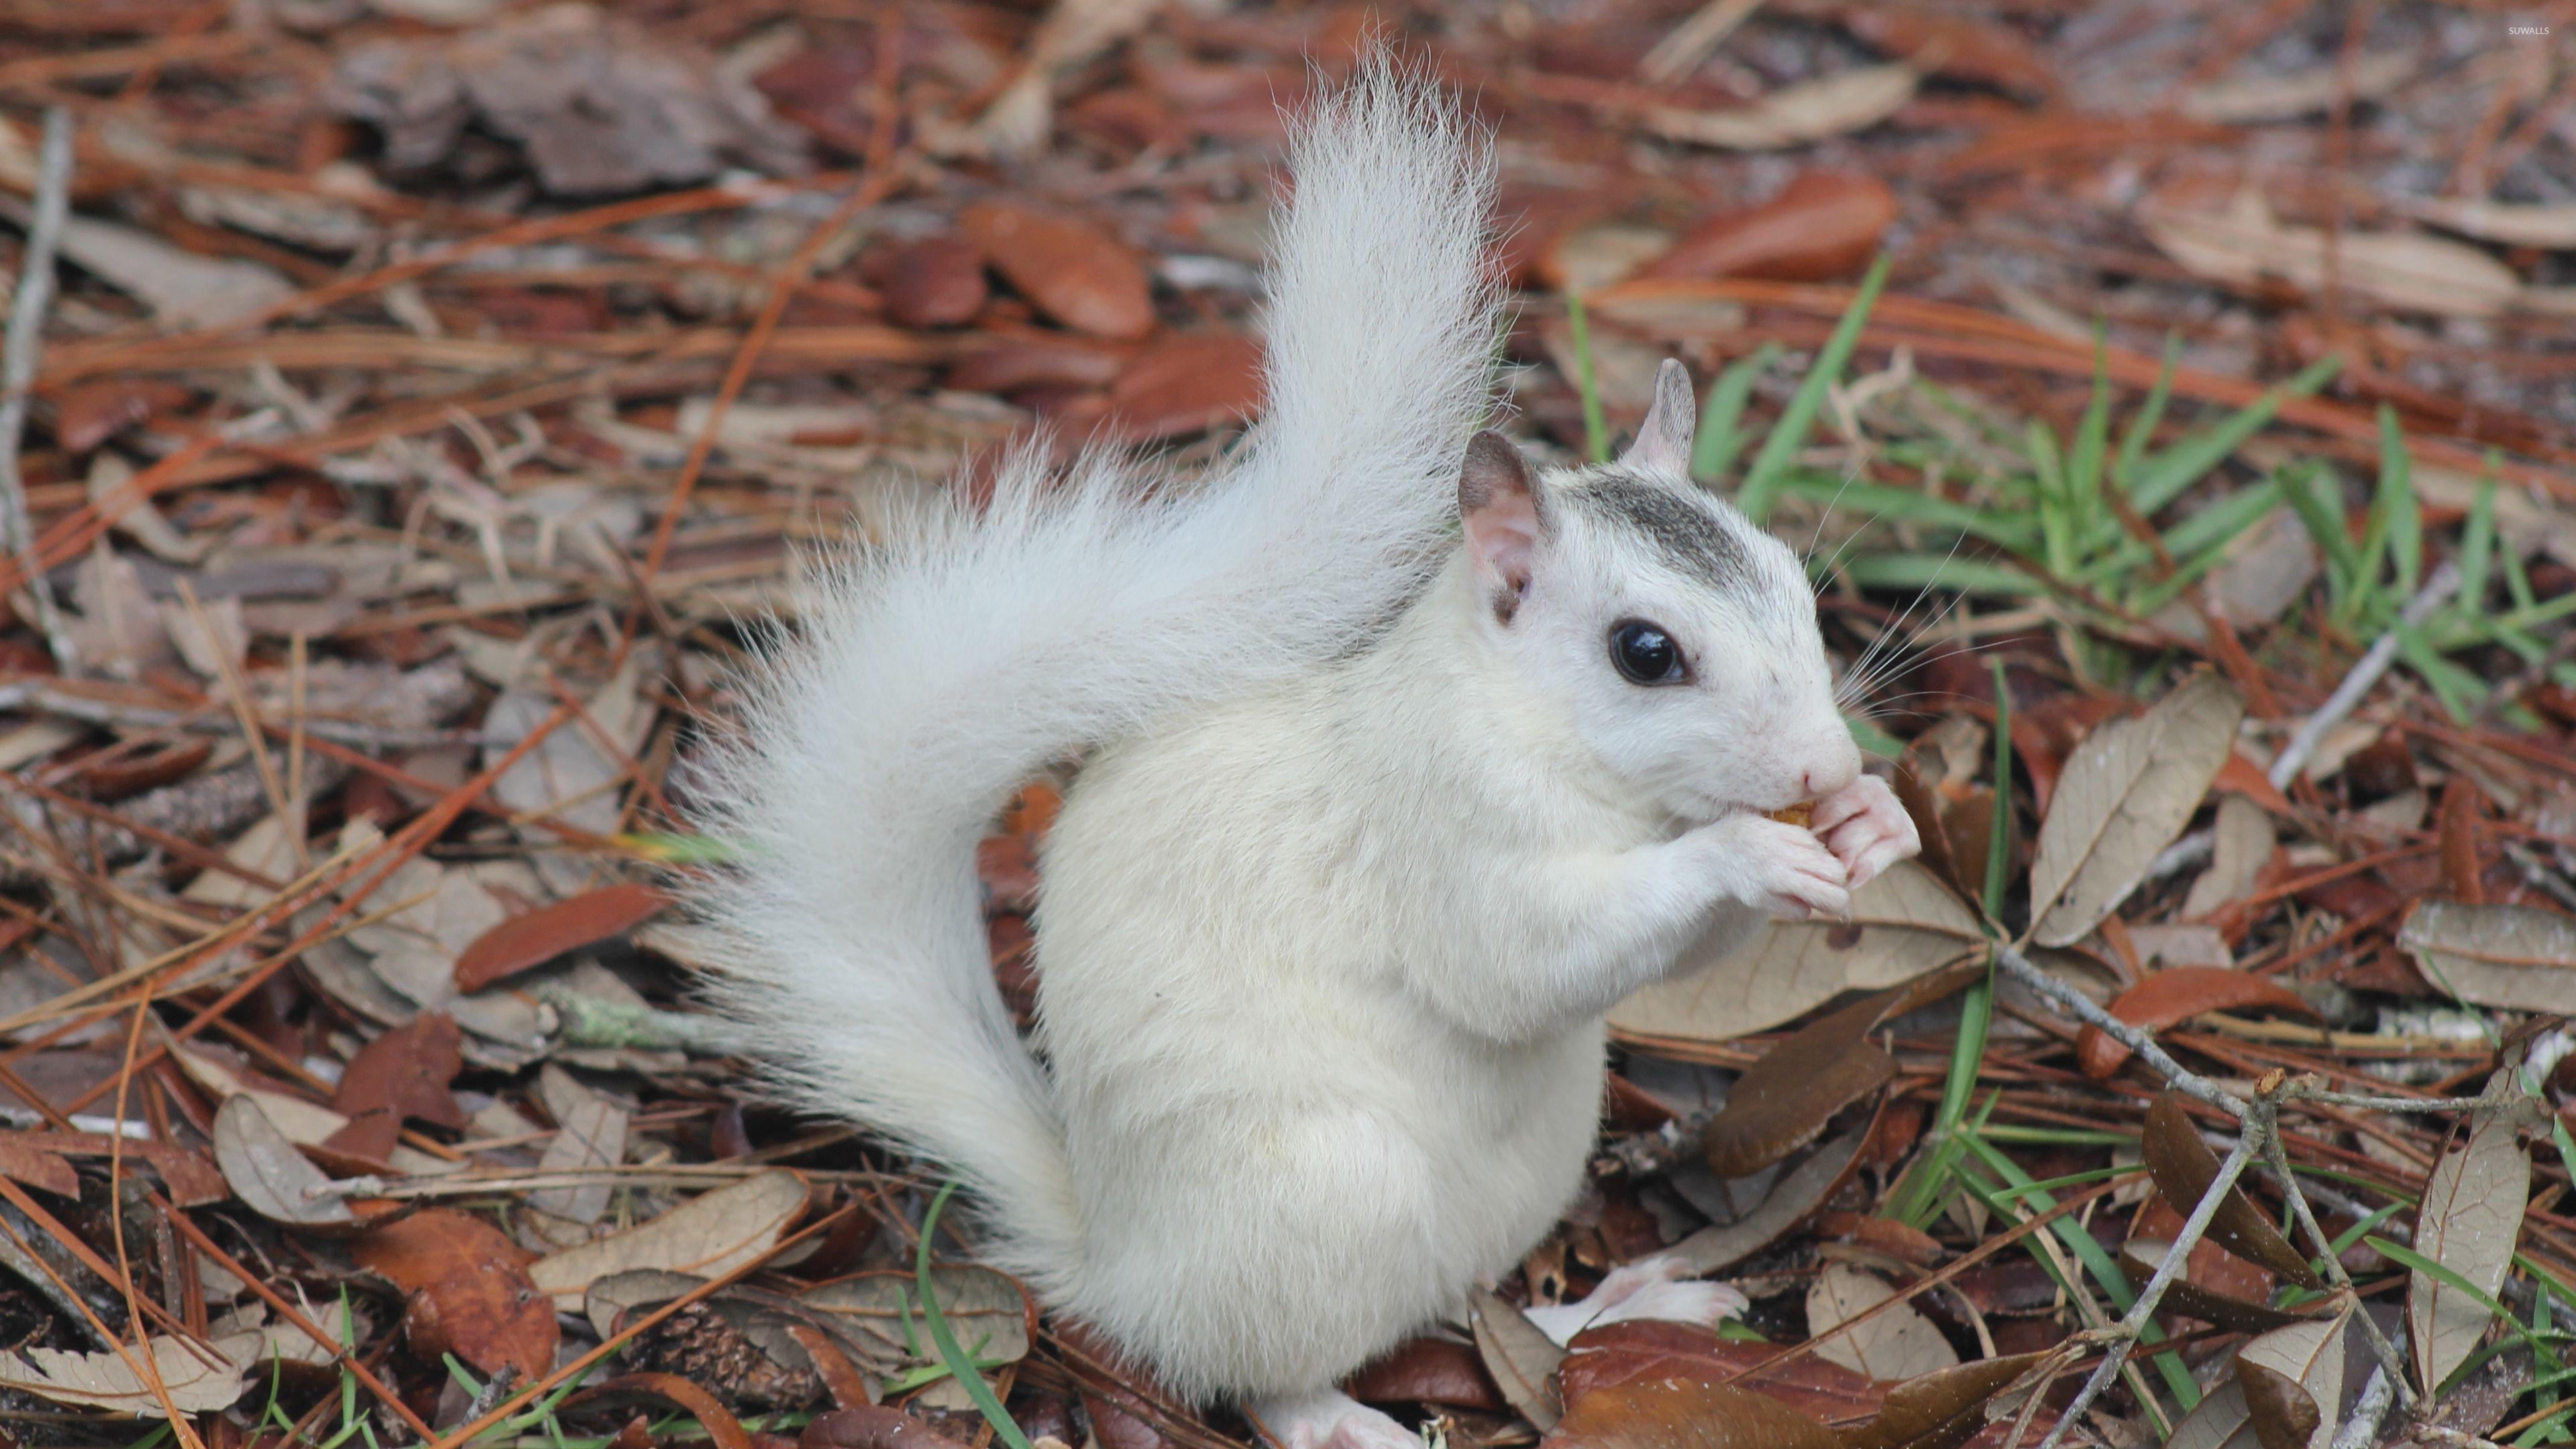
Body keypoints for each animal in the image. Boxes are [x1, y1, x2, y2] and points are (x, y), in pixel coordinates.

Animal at [686, 62, 1921, 1449]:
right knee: (1268, 1375)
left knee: (1470, 1311)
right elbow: (1517, 959)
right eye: (1645, 653)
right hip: (1327, 1197)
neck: (1553, 741)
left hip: (1529, 1169)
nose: (1818, 769)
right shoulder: (1440, 817)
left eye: (1797, 588)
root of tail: (1120, 1267)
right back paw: (1351, 1418)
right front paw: (1744, 852)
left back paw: (1600, 1315)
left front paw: (1875, 823)